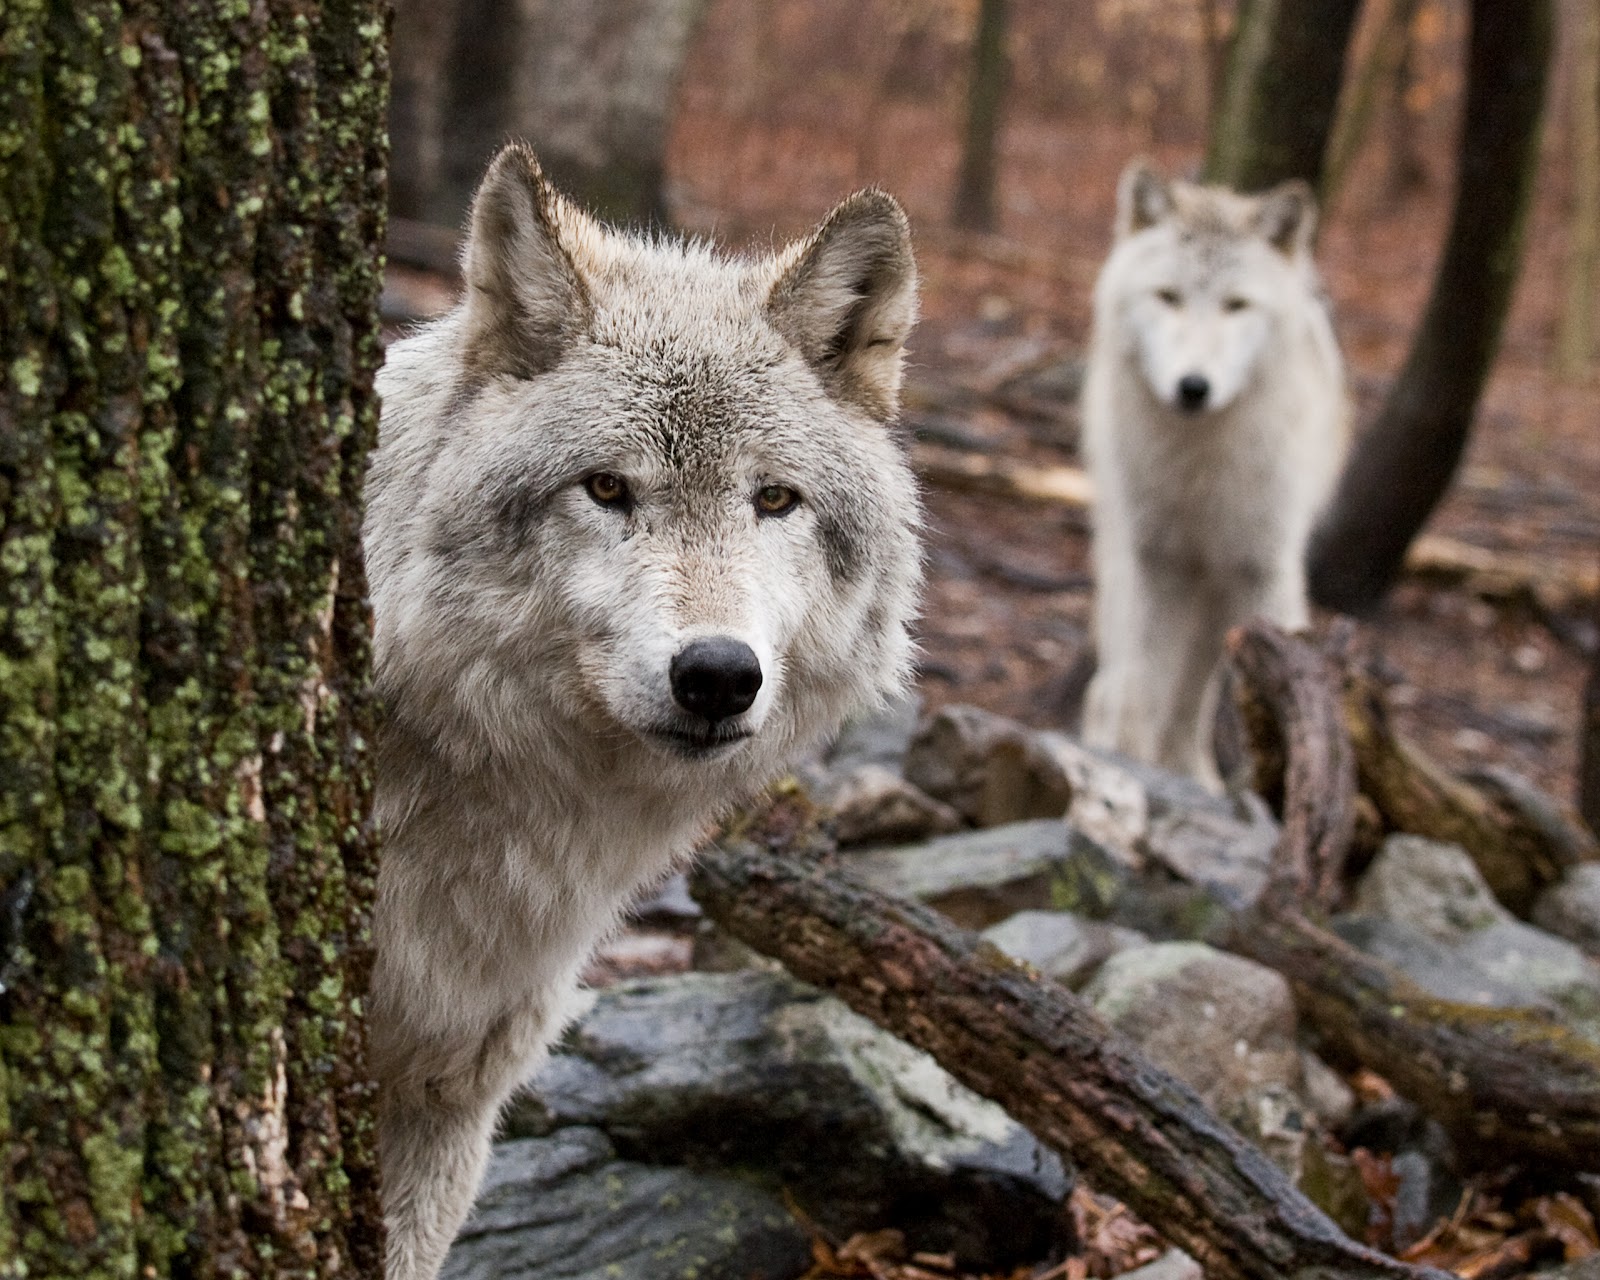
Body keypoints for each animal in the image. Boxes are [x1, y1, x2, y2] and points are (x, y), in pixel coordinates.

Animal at [1081, 160, 1348, 789]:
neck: (1201, 471)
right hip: (1126, 557)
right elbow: (1142, 691)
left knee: (1192, 696)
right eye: (1168, 297)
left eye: (1236, 305)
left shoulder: (1262, 571)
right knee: (1113, 681)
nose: (1193, 387)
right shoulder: (1158, 563)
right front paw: (1130, 766)